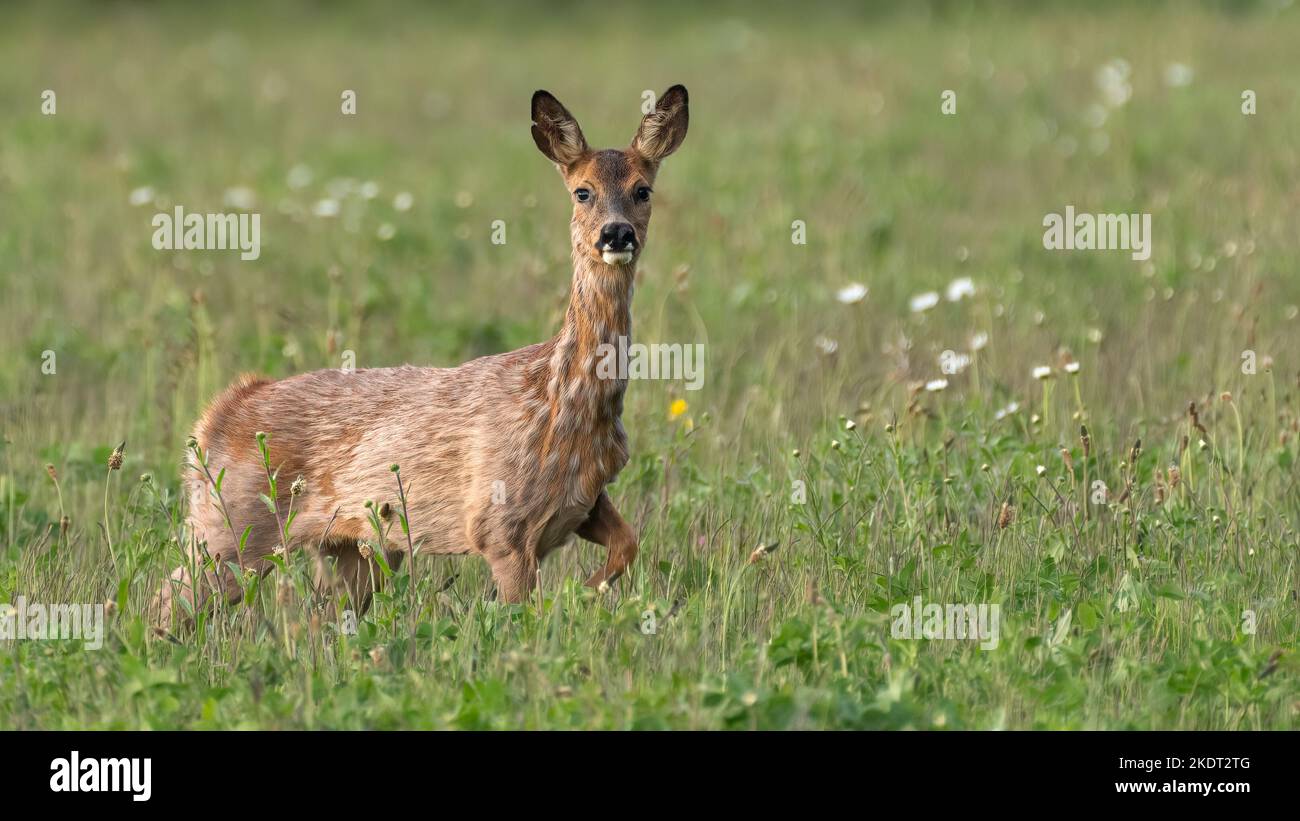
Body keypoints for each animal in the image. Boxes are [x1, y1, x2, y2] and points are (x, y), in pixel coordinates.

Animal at [152, 85, 689, 630]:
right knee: (166, 601)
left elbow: (629, 544)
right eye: (582, 191)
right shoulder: (499, 526)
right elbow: (522, 614)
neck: (561, 398)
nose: (616, 233)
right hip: (231, 523)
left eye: (643, 189)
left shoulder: (587, 500)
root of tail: (219, 413)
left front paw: (587, 593)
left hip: (350, 549)